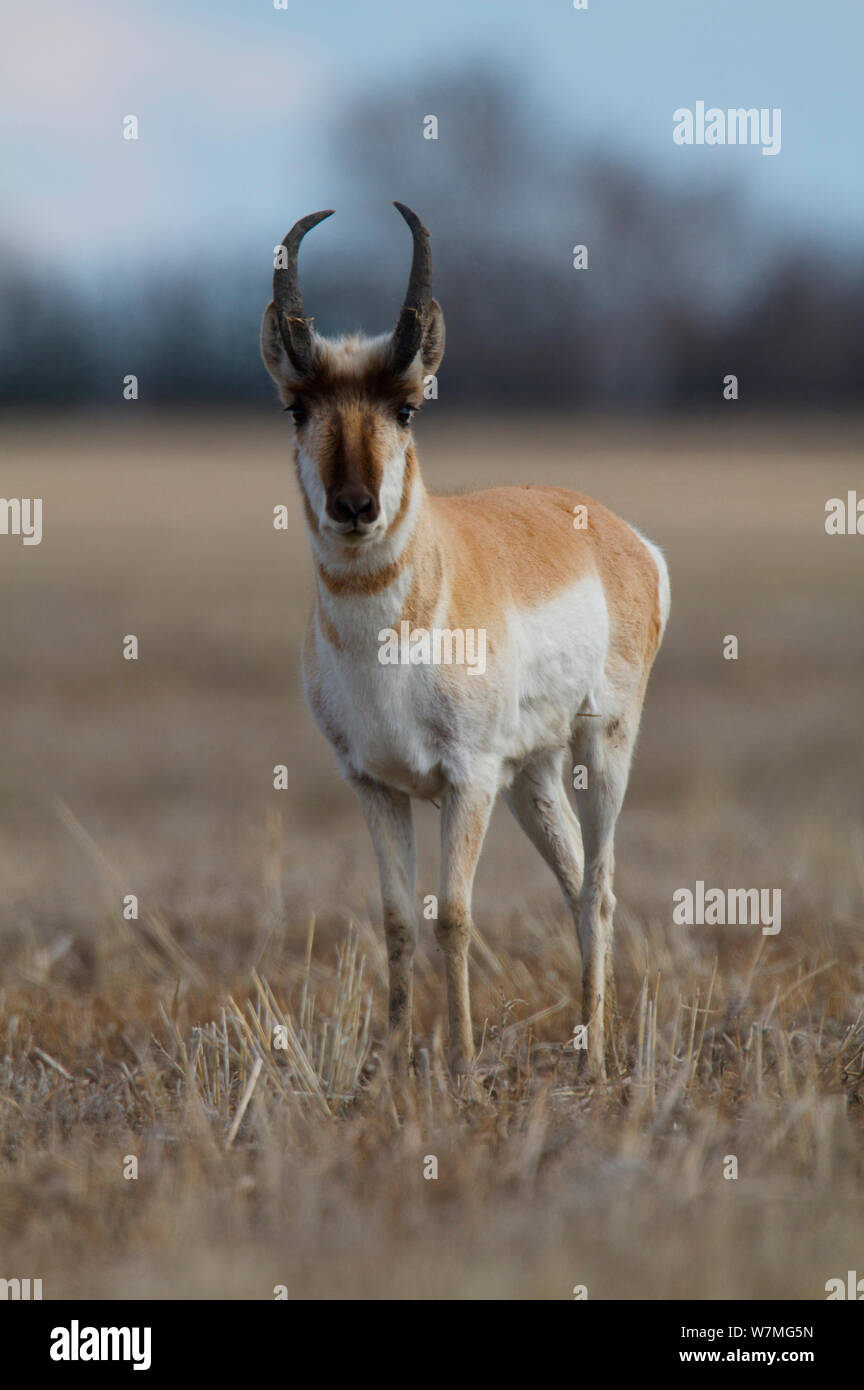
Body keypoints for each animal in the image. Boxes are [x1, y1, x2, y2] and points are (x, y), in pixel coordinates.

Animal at [261, 204, 670, 1078]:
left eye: (407, 407)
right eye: (297, 408)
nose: (355, 506)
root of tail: (619, 535)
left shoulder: (466, 780)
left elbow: (452, 915)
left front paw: (461, 1072)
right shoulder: (374, 786)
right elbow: (395, 920)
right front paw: (386, 1067)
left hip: (601, 747)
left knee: (600, 885)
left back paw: (593, 1061)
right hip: (533, 775)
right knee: (574, 878)